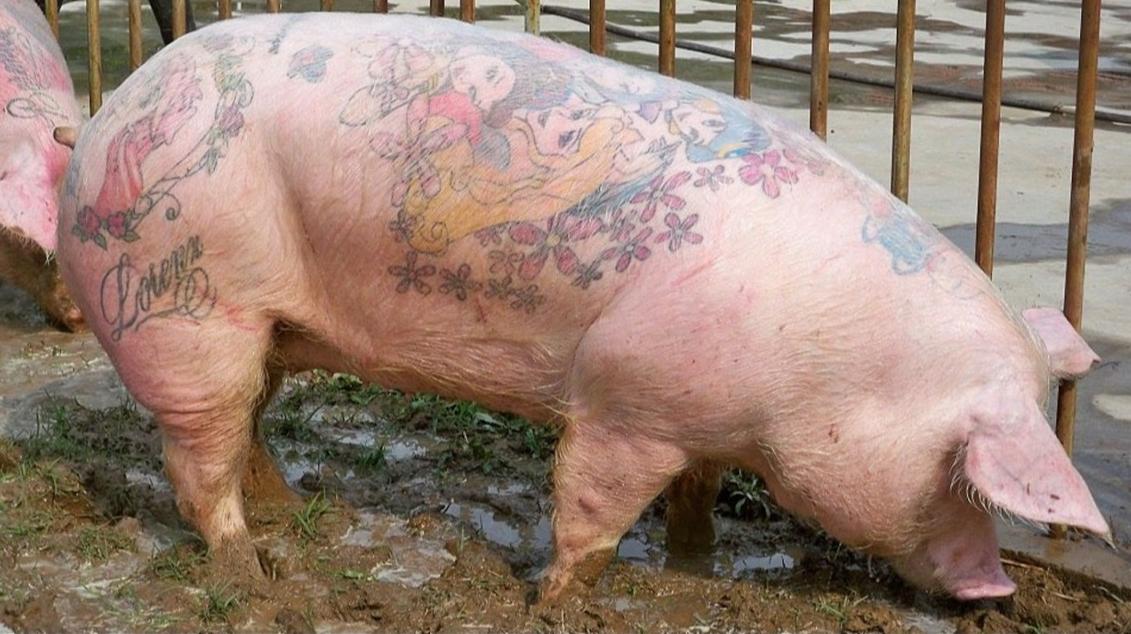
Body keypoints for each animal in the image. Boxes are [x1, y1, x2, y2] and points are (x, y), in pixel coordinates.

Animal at [54, 13, 1108, 602]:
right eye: (961, 480)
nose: (996, 588)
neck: (835, 367)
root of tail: (112, 115)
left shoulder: (700, 411)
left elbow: (695, 493)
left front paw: (695, 567)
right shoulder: (624, 397)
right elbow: (588, 505)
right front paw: (559, 602)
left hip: (268, 326)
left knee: (249, 427)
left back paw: (288, 509)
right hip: (189, 309)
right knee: (197, 454)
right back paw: (253, 571)